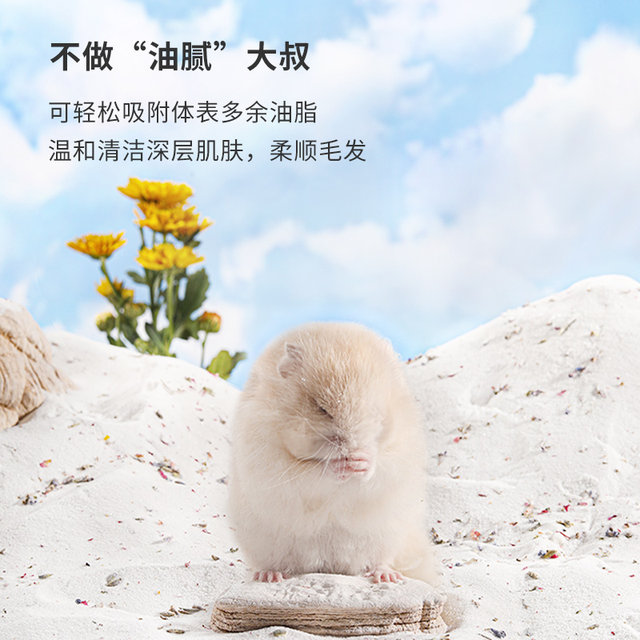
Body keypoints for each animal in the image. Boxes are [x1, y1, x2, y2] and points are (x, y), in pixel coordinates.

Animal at [228, 322, 434, 584]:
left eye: (374, 409)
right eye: (322, 409)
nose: (353, 449)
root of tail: (333, 565)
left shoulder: (401, 449)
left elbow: (381, 465)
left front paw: (361, 462)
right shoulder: (272, 461)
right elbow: (313, 473)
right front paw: (341, 466)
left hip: (390, 535)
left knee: (380, 560)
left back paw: (386, 576)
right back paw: (270, 576)